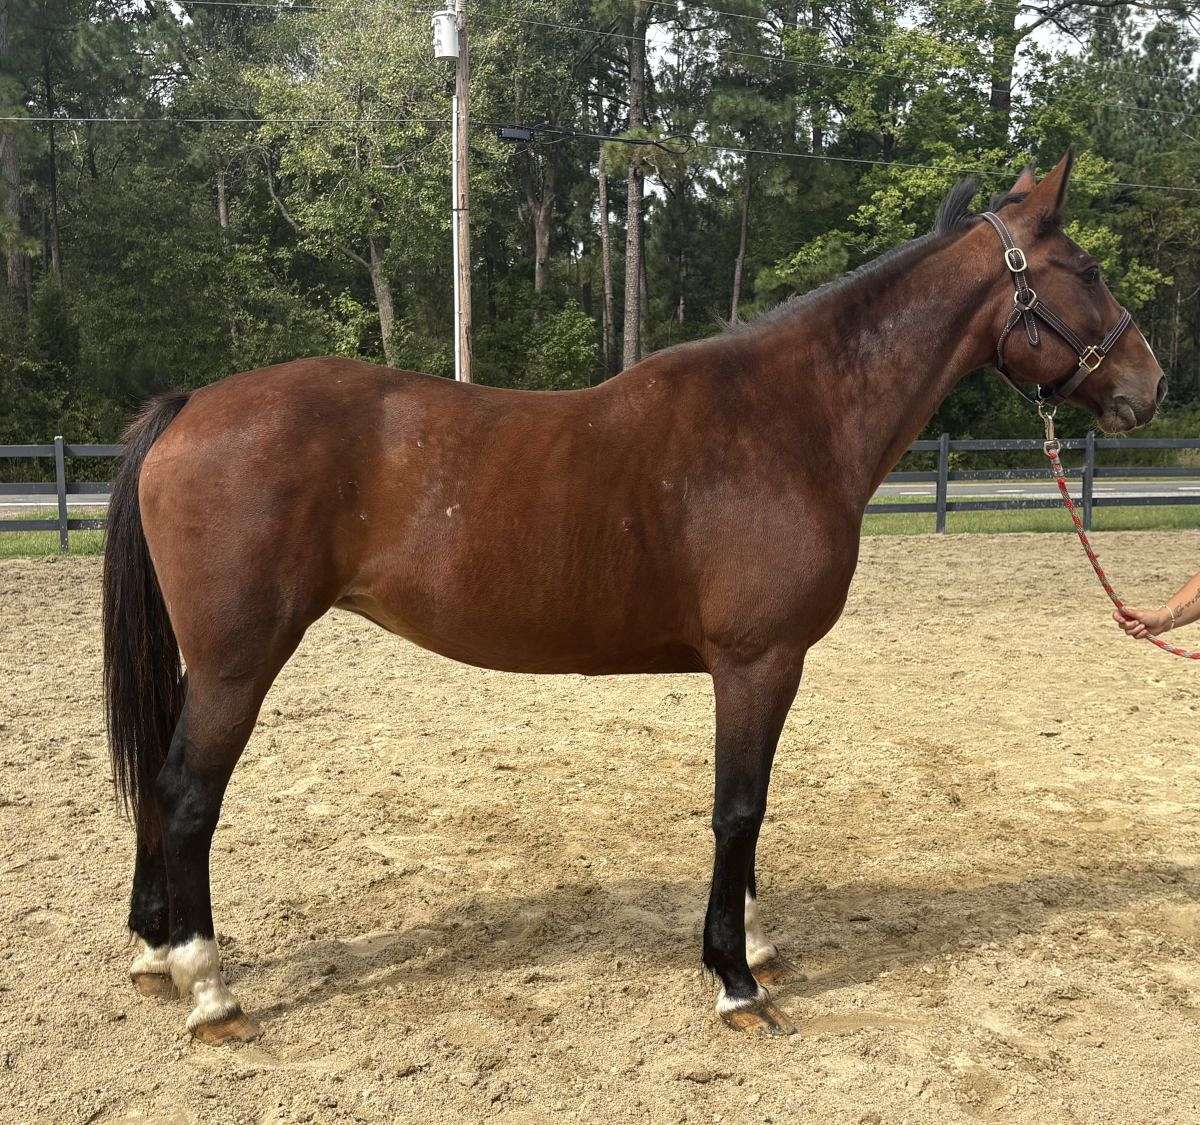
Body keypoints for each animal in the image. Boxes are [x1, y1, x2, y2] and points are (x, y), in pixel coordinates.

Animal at [102, 151, 1165, 1042]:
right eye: (1086, 270)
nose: (1151, 386)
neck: (792, 418)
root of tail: (191, 408)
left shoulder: (762, 668)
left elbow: (750, 809)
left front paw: (755, 942)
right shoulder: (759, 662)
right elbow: (739, 808)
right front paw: (736, 979)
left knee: (159, 783)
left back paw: (155, 953)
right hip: (239, 661)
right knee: (187, 793)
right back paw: (209, 987)